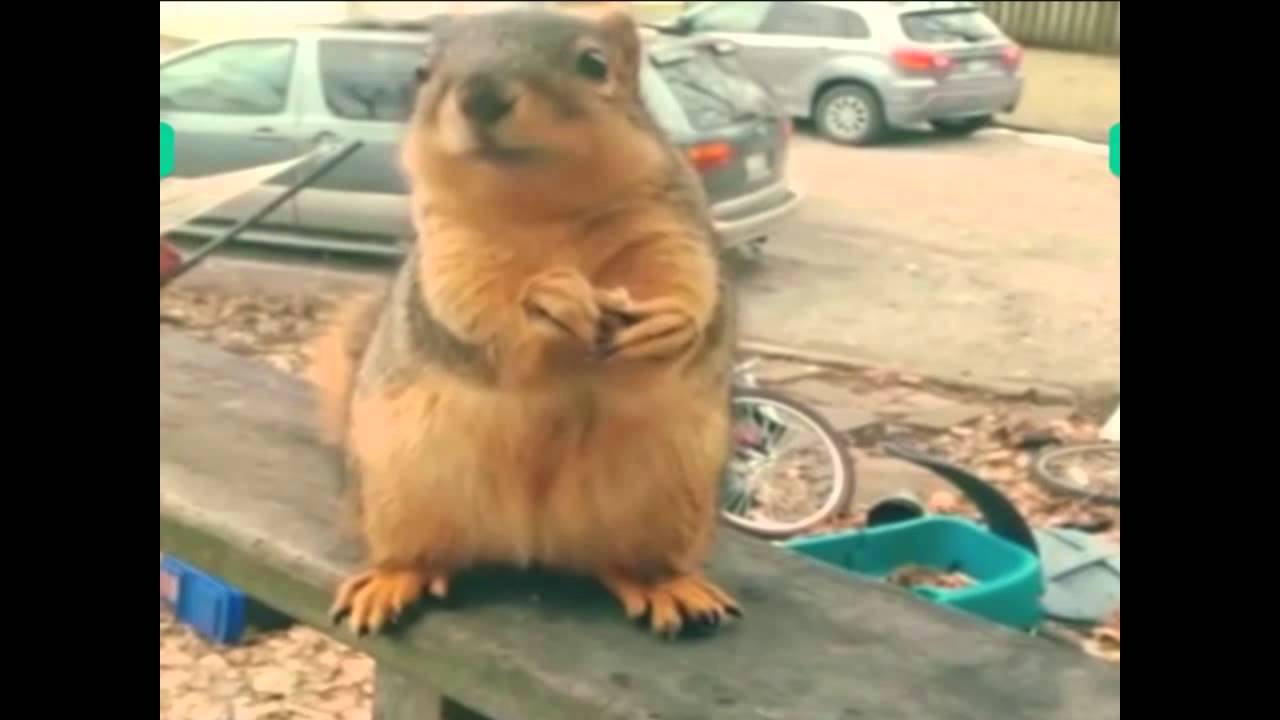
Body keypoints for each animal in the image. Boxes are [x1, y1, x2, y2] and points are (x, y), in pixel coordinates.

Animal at [306, 7, 741, 639]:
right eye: (421, 72)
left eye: (594, 64)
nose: (481, 96)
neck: (540, 208)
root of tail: (532, 546)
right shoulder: (450, 258)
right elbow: (477, 314)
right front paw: (544, 306)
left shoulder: (673, 230)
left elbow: (690, 287)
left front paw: (670, 326)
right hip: (399, 489)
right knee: (418, 551)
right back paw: (393, 578)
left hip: (668, 501)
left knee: (628, 561)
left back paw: (665, 585)